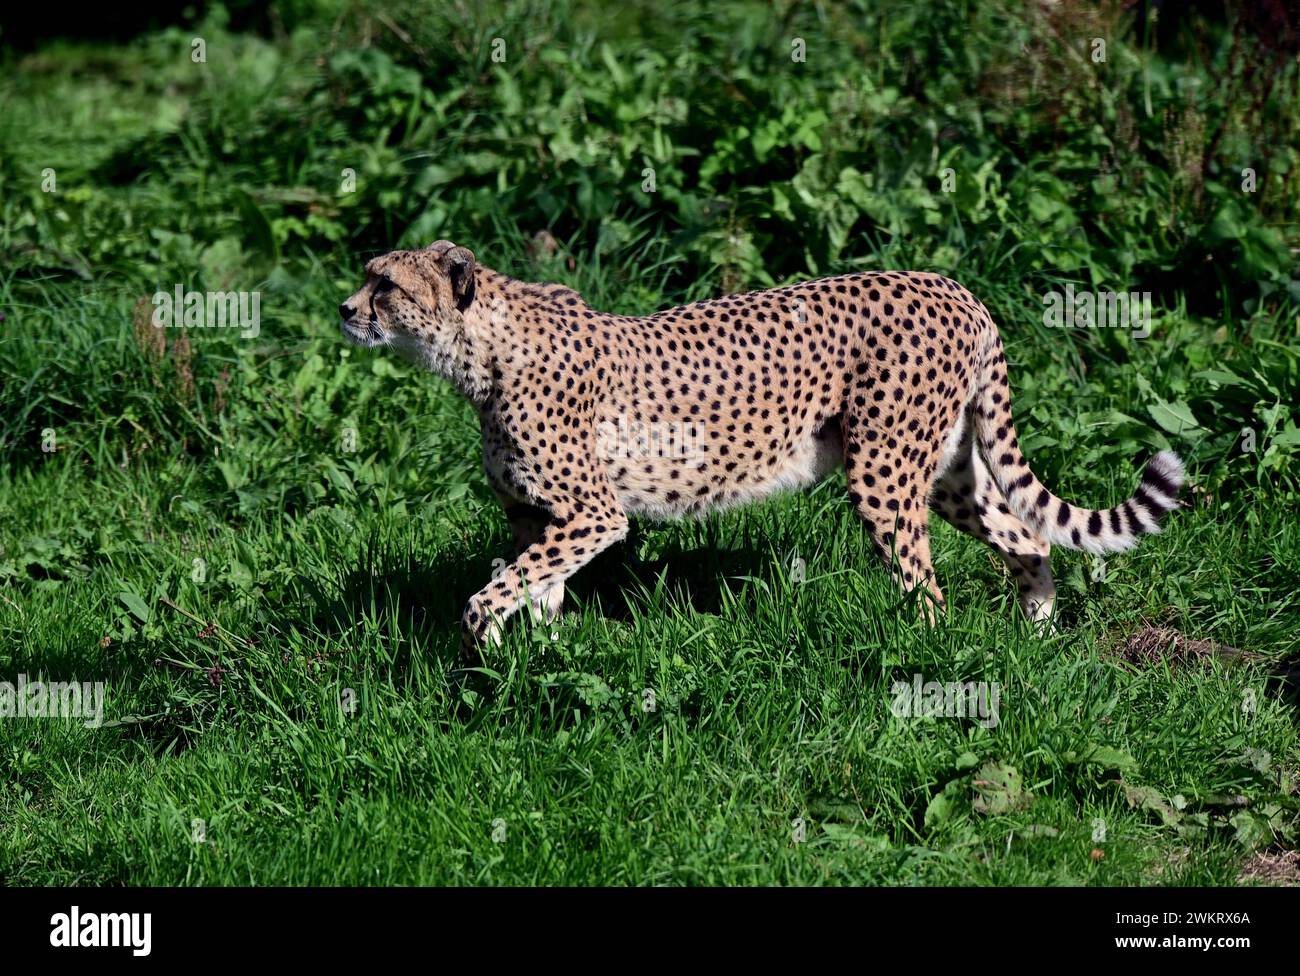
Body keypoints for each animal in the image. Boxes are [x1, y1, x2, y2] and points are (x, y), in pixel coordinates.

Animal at [340, 239, 1185, 656]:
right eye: (367, 277)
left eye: (387, 286)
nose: (345, 309)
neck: (477, 350)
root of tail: (954, 287)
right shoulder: (538, 516)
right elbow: (535, 585)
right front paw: (539, 658)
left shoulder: (592, 514)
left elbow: (498, 589)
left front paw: (486, 643)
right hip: (945, 471)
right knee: (1027, 536)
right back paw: (1035, 638)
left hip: (883, 474)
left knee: (928, 589)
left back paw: (925, 668)